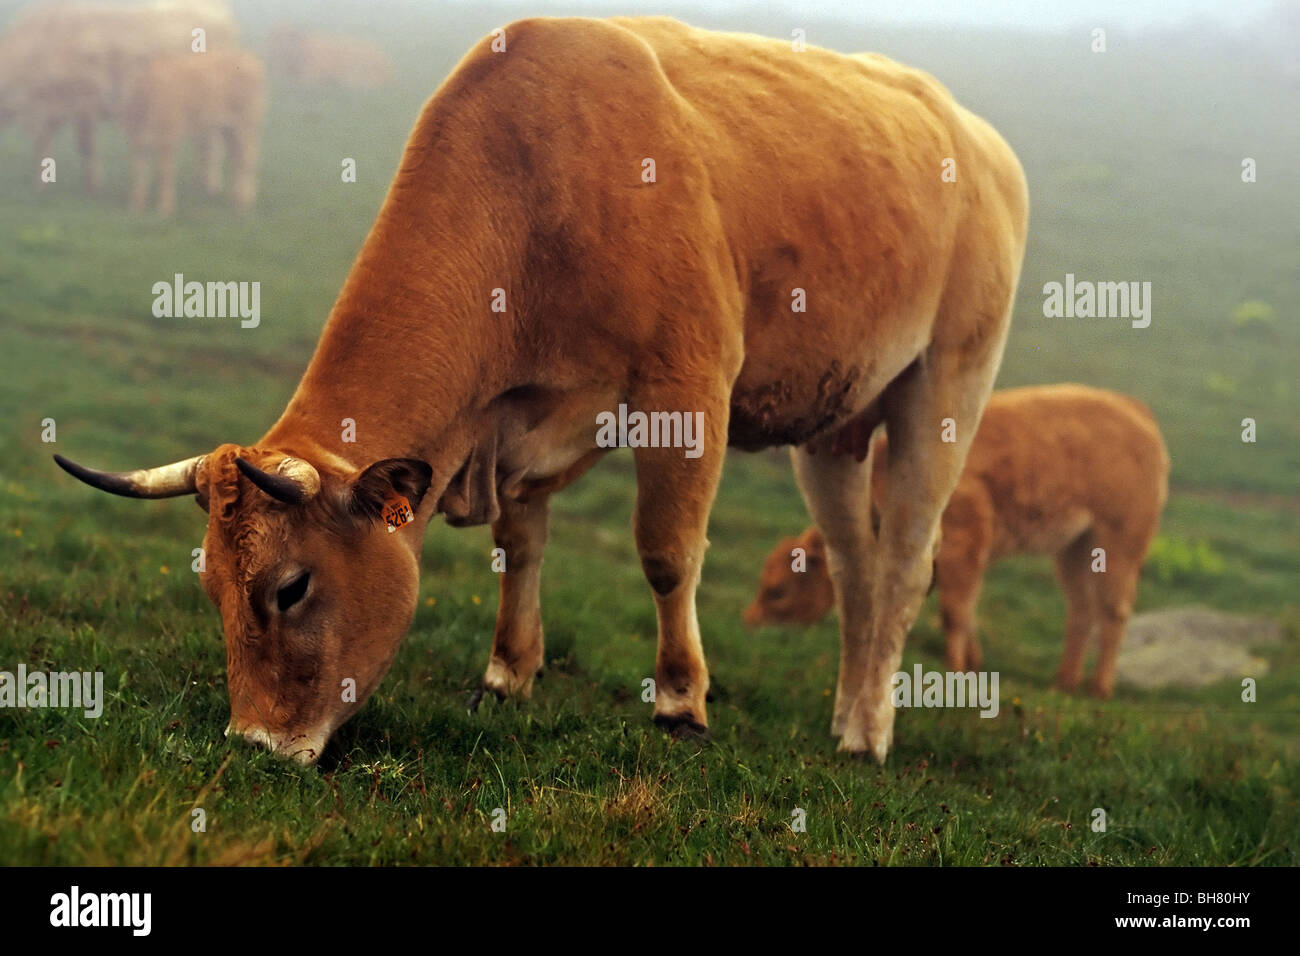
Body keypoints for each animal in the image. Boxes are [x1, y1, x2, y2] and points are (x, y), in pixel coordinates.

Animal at [122, 48, 266, 216]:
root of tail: (248, 58)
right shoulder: (137, 142)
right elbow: (139, 175)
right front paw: (136, 207)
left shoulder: (167, 138)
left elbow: (164, 173)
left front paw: (165, 207)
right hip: (228, 128)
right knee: (235, 158)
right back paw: (234, 198)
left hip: (247, 124)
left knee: (248, 159)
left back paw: (244, 202)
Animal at [745, 385, 1170, 698]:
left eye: (778, 590)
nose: (750, 622)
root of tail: (1136, 411)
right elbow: (967, 610)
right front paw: (973, 663)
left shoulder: (963, 547)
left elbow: (956, 610)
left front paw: (955, 667)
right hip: (1075, 548)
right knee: (1081, 610)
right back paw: (1064, 682)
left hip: (1117, 542)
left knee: (1113, 610)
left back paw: (1099, 688)